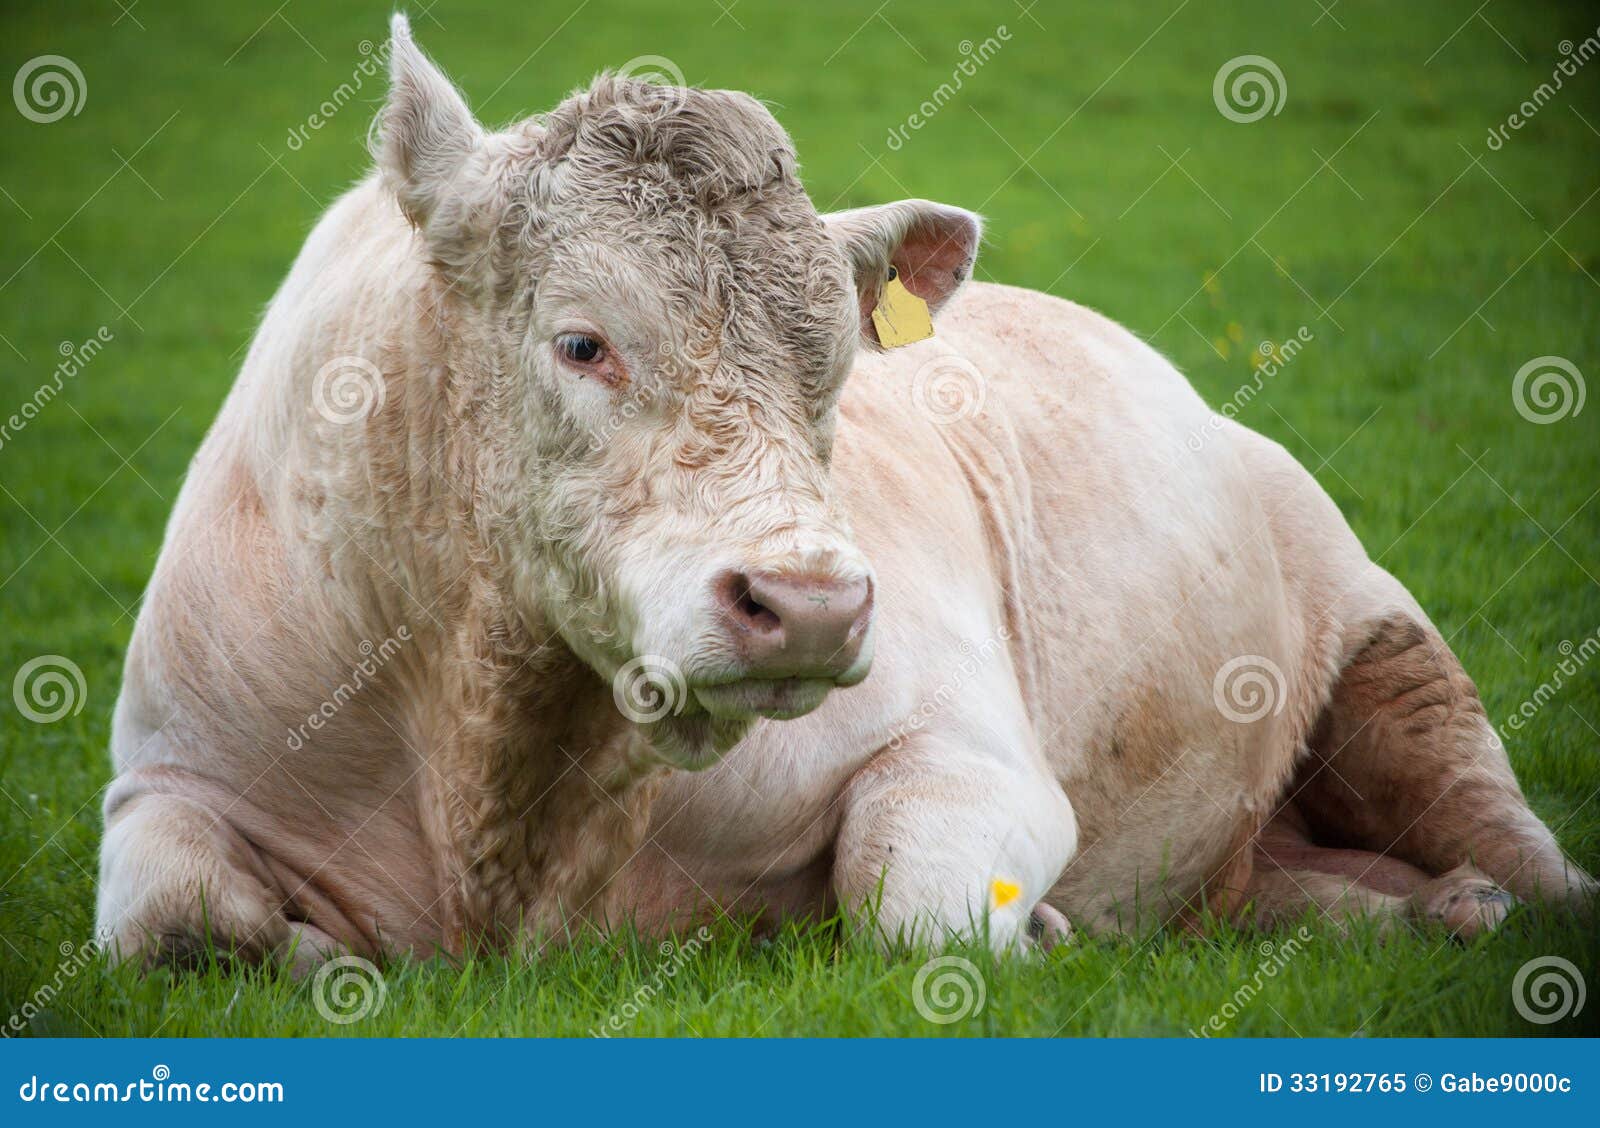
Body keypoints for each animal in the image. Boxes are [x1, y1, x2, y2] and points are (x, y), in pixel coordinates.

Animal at [97, 16, 1594, 968]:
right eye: (582, 343)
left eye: (832, 370)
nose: (808, 606)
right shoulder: (163, 774)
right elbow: (175, 925)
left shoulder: (974, 755)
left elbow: (913, 911)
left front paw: (1043, 928)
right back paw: (1432, 915)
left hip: (1401, 669)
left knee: (1522, 854)